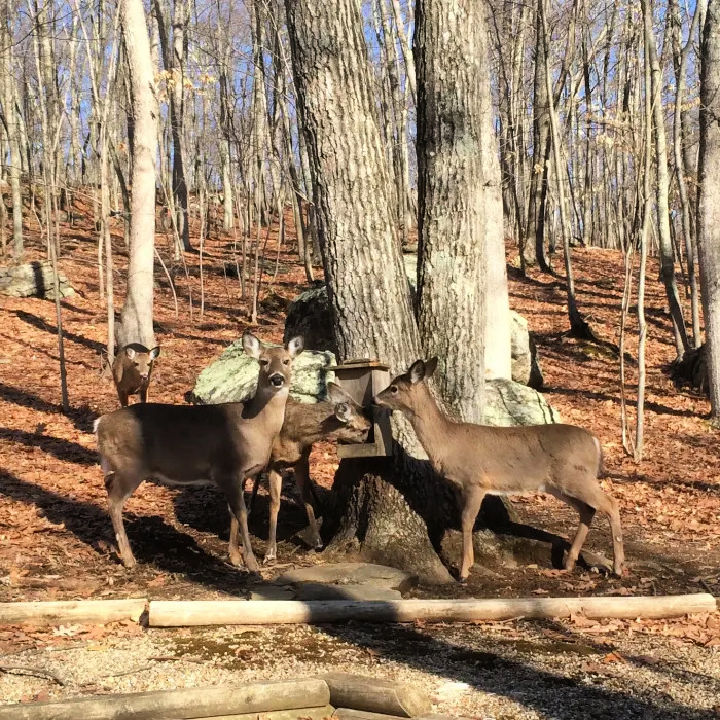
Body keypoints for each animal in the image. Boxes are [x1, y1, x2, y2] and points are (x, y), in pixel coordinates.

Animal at [95, 332, 303, 572]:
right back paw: (129, 558)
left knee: (108, 488)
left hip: (118, 466)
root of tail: (99, 424)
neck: (254, 426)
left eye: (287, 361)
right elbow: (242, 512)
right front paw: (251, 563)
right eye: (263, 362)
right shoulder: (227, 469)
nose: (277, 378)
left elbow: (233, 512)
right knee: (114, 502)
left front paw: (234, 557)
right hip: (131, 465)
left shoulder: (240, 475)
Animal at [238, 383, 372, 565]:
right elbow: (274, 503)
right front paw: (270, 552)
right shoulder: (275, 463)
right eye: (364, 429)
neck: (296, 436)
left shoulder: (302, 460)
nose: (370, 437)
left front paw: (318, 541)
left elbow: (306, 497)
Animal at [373, 358, 624, 582]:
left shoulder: (476, 482)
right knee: (588, 509)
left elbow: (466, 521)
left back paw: (618, 568)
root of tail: (595, 441)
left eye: (394, 387)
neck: (447, 442)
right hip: (558, 484)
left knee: (610, 504)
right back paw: (569, 563)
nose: (375, 398)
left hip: (574, 477)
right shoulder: (460, 486)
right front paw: (469, 565)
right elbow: (464, 520)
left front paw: (463, 572)